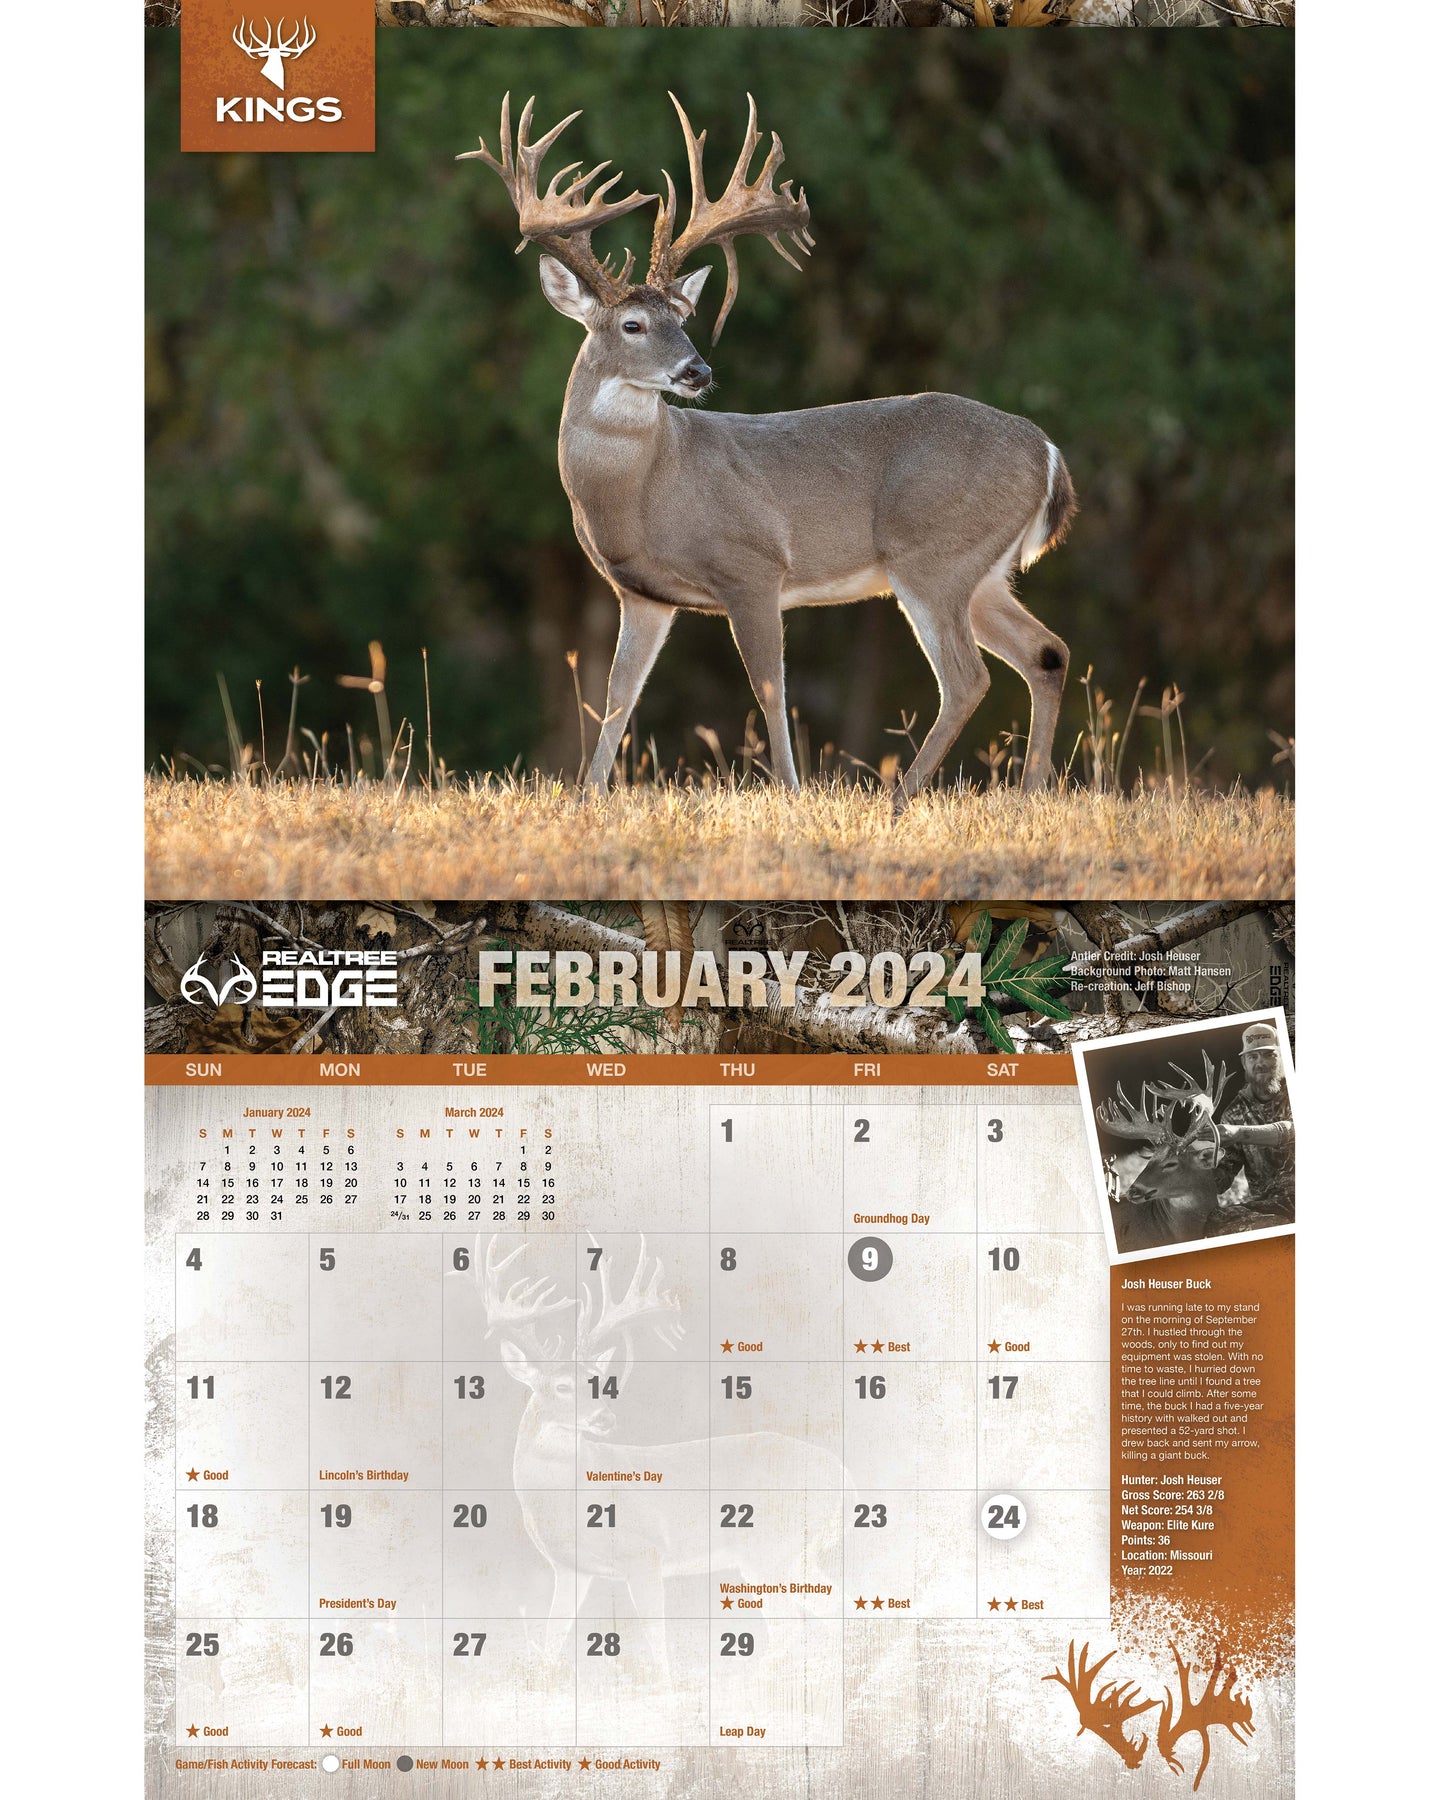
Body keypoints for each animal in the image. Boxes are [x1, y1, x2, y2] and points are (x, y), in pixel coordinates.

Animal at [458, 94, 1077, 799]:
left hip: (933, 555)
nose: (697, 371)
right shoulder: (642, 593)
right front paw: (590, 796)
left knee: (968, 678)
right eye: (633, 324)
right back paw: (1030, 793)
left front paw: (791, 790)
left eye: (685, 318)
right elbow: (617, 697)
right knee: (1046, 653)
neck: (644, 491)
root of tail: (1048, 452)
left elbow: (770, 688)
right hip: (982, 570)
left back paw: (901, 799)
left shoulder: (751, 564)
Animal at [471, 1236, 850, 1674]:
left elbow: (659, 1646)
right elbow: (553, 1640)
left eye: (598, 1382)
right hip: (789, 1556)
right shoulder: (568, 1569)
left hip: (769, 1547)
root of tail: (845, 1478)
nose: (604, 1418)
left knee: (792, 1628)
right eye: (562, 1386)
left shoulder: (644, 1553)